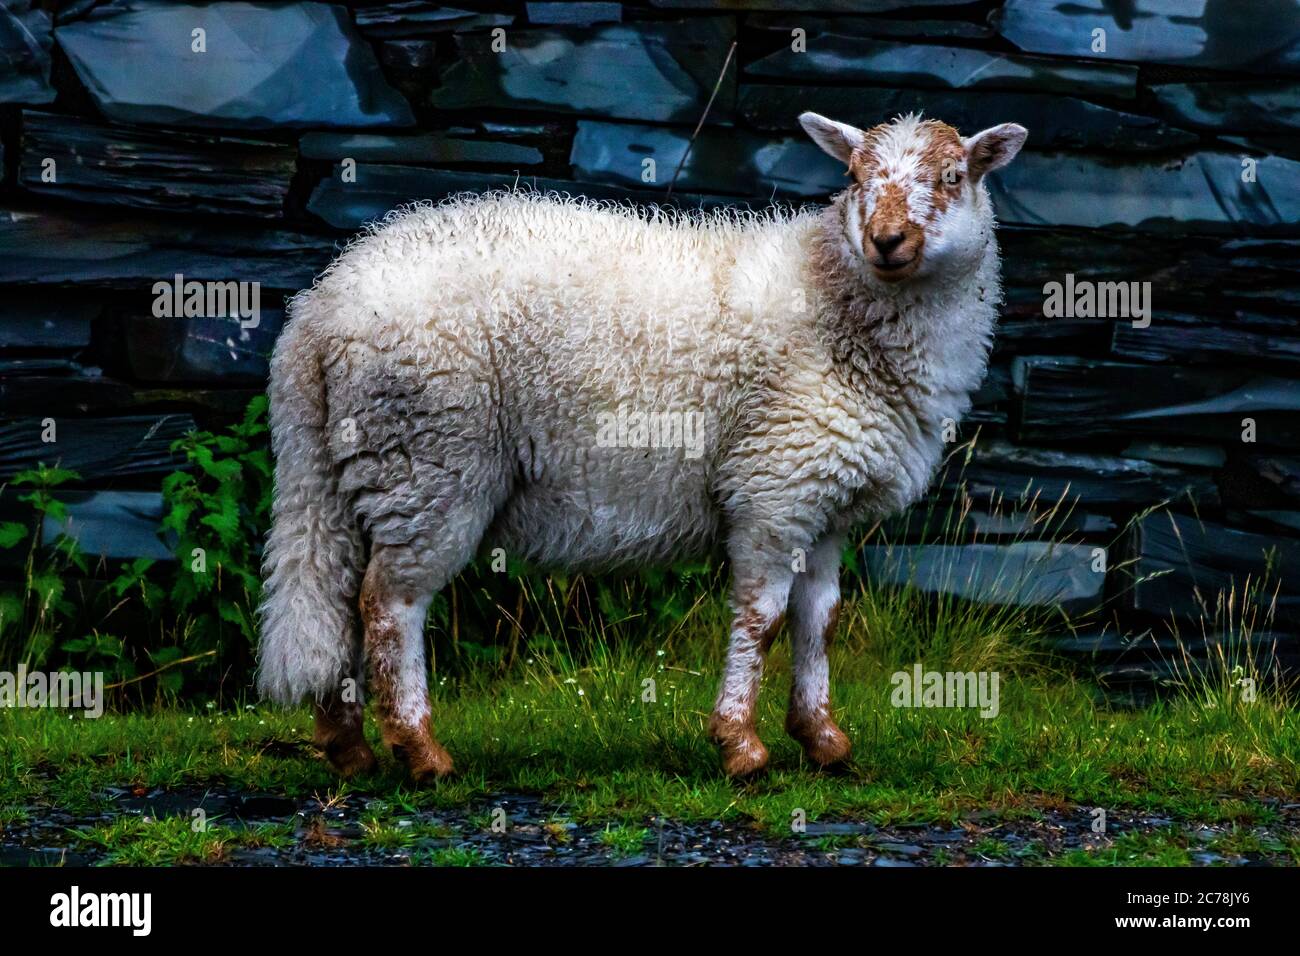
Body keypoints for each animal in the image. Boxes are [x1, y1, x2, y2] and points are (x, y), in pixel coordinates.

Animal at [257, 112, 1028, 780]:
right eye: (856, 175)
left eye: (952, 176)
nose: (887, 240)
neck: (837, 299)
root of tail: (318, 315)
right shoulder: (774, 486)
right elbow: (763, 618)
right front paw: (741, 746)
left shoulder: (824, 501)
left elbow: (820, 621)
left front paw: (823, 740)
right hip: (429, 459)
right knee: (389, 605)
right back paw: (421, 752)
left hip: (355, 465)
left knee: (334, 593)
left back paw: (349, 747)